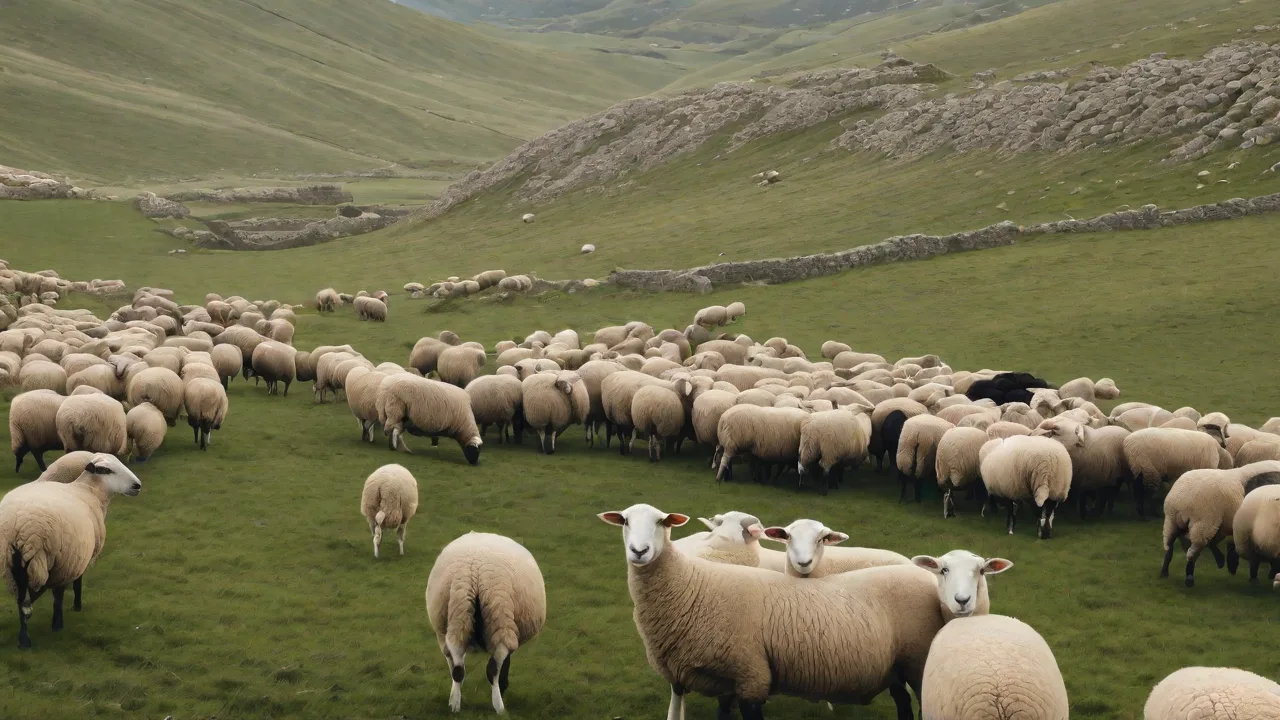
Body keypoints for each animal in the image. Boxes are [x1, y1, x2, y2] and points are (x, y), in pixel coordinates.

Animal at [0, 453, 142, 648]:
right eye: (105, 470)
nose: (137, 486)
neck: (88, 491)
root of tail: (20, 528)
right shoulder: (80, 555)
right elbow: (76, 583)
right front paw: (77, 605)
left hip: (13, 563)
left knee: (22, 601)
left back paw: (24, 638)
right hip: (61, 560)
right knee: (55, 595)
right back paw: (55, 625)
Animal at [425, 532, 546, 714]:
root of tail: (474, 572)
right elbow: (504, 665)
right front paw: (503, 687)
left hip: (458, 614)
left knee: (457, 666)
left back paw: (455, 704)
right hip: (500, 615)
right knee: (493, 667)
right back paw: (499, 706)